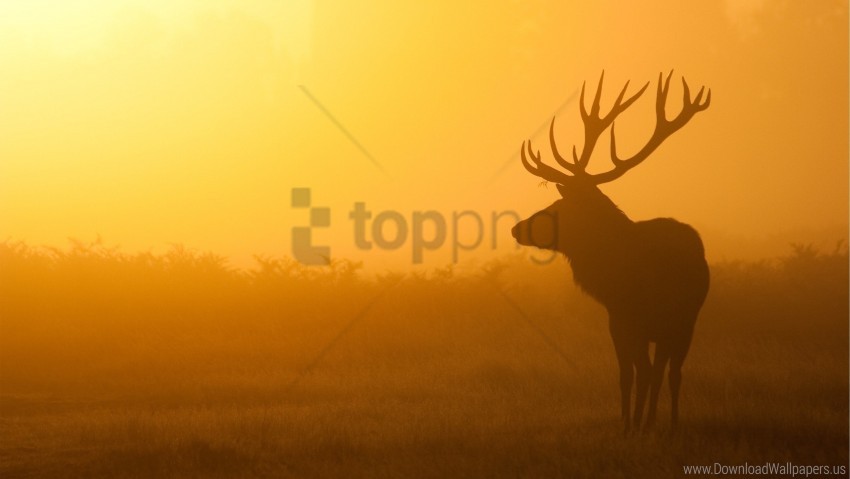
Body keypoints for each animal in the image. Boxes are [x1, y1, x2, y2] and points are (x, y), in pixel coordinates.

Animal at [511, 71, 711, 433]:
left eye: (559, 206)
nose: (516, 228)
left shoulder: (633, 320)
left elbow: (637, 374)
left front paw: (633, 425)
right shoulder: (629, 322)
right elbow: (634, 375)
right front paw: (633, 423)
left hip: (672, 321)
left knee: (662, 372)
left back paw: (657, 423)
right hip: (675, 324)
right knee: (666, 372)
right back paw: (662, 422)